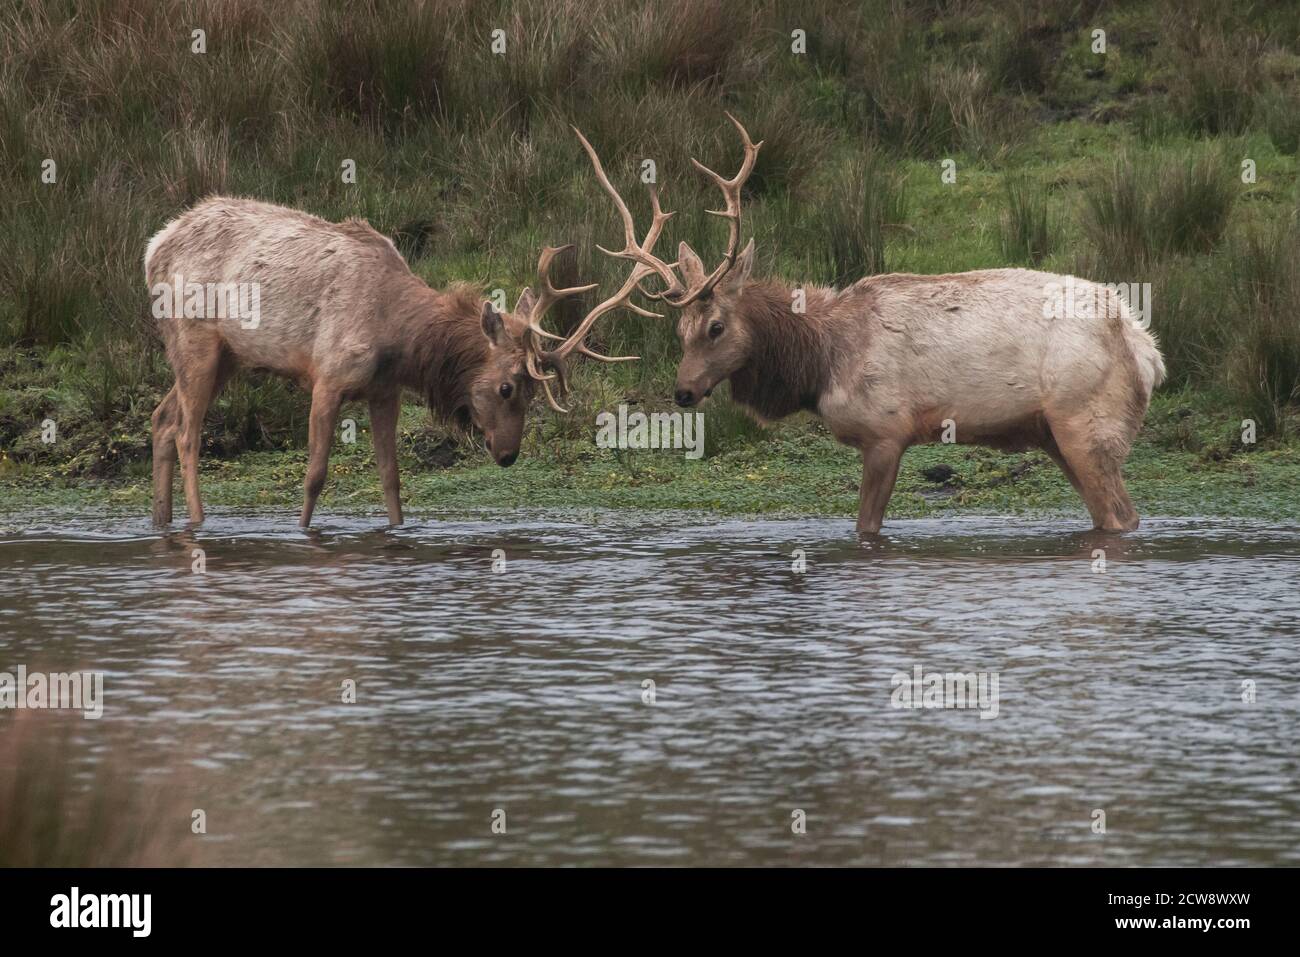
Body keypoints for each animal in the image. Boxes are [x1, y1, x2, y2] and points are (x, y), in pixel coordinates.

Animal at [144, 195, 659, 528]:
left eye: (534, 391)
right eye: (508, 386)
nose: (508, 454)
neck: (400, 340)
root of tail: (152, 249)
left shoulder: (385, 390)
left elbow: (391, 477)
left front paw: (397, 530)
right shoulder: (327, 377)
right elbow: (314, 476)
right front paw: (302, 531)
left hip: (225, 354)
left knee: (161, 418)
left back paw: (160, 519)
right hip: (195, 338)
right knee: (188, 432)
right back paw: (198, 523)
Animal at [573, 114, 1167, 535]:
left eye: (715, 326)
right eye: (678, 332)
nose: (683, 392)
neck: (819, 362)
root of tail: (1147, 349)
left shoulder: (886, 429)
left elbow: (865, 526)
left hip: (1087, 421)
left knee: (1120, 516)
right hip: (1054, 432)